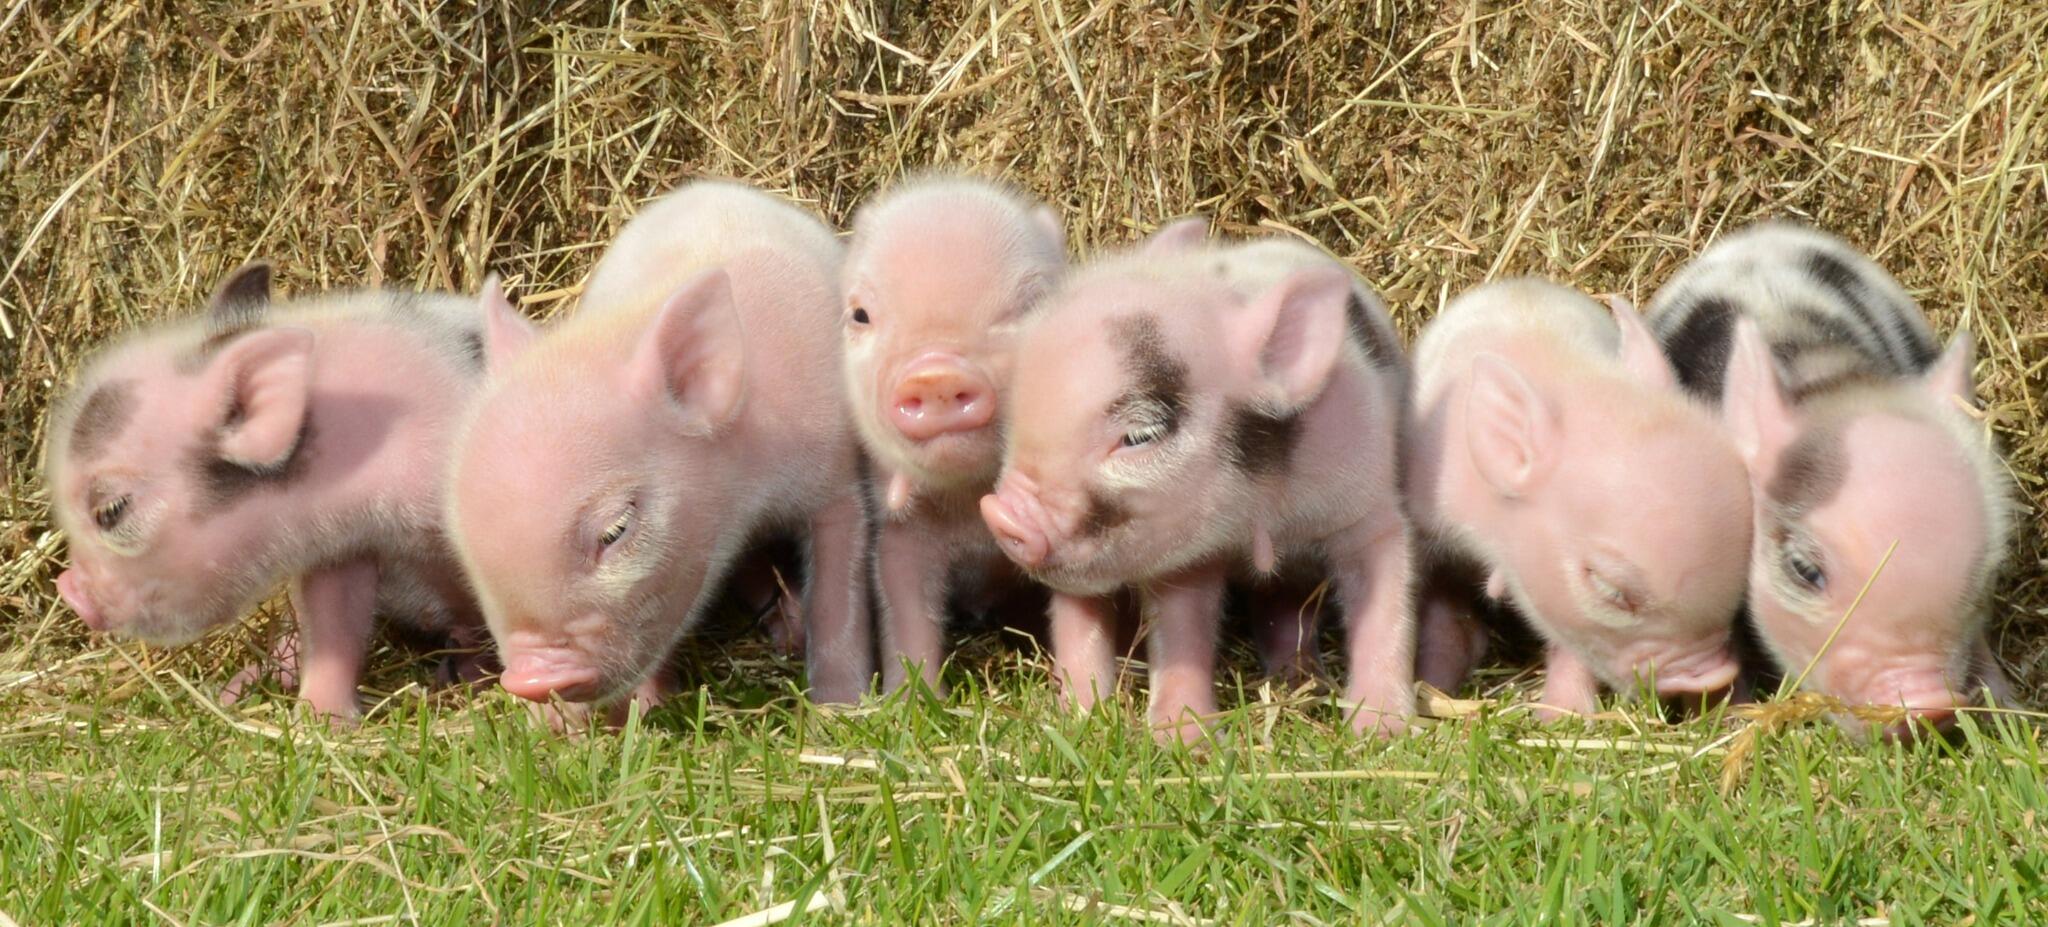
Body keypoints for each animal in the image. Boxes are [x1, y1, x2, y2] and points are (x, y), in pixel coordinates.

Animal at [45, 263, 490, 718]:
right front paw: (318, 720)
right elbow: (333, 623)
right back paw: (239, 687)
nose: (68, 591)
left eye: (112, 510)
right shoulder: (345, 548)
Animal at [447, 179, 873, 714]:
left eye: (615, 529)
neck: (751, 498)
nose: (531, 679)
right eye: (462, 542)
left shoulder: (835, 476)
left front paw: (842, 707)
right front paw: (640, 712)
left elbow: (839, 593)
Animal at [839, 176, 1065, 693]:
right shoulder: (898, 537)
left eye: (1032, 304)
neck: (969, 512)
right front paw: (913, 699)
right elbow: (907, 615)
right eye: (860, 315)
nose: (934, 374)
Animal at [981, 220, 1417, 740]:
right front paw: (1184, 740)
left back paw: (1300, 680)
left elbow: (1384, 605)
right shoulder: (1185, 561)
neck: (1262, 520)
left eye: (1140, 435)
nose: (1001, 513)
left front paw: (1379, 731)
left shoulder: (1368, 507)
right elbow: (1182, 629)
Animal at [1648, 222, 2015, 736]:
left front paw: (2008, 707)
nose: (1927, 703)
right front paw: (1730, 719)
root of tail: (1767, 232)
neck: (1826, 381)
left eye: (1985, 577)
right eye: (1804, 569)